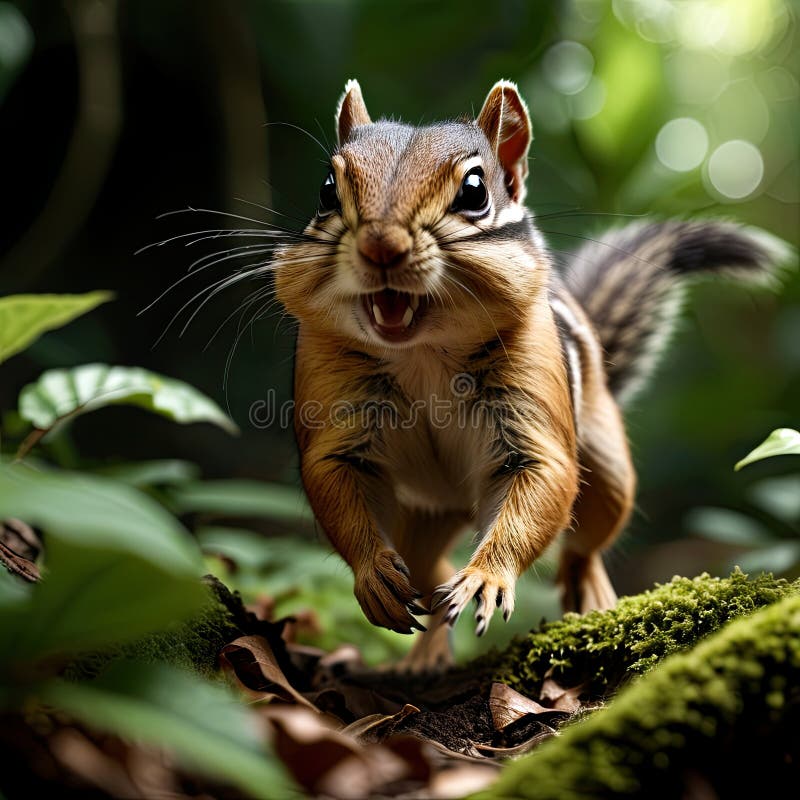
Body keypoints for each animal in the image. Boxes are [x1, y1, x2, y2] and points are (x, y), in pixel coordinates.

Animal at [273, 79, 787, 670]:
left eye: (475, 191)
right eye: (326, 190)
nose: (381, 245)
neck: (419, 352)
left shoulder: (530, 407)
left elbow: (545, 477)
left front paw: (487, 578)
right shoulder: (336, 407)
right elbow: (332, 477)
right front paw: (374, 573)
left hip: (607, 472)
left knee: (585, 543)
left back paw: (591, 593)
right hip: (424, 513)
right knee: (429, 571)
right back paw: (426, 652)